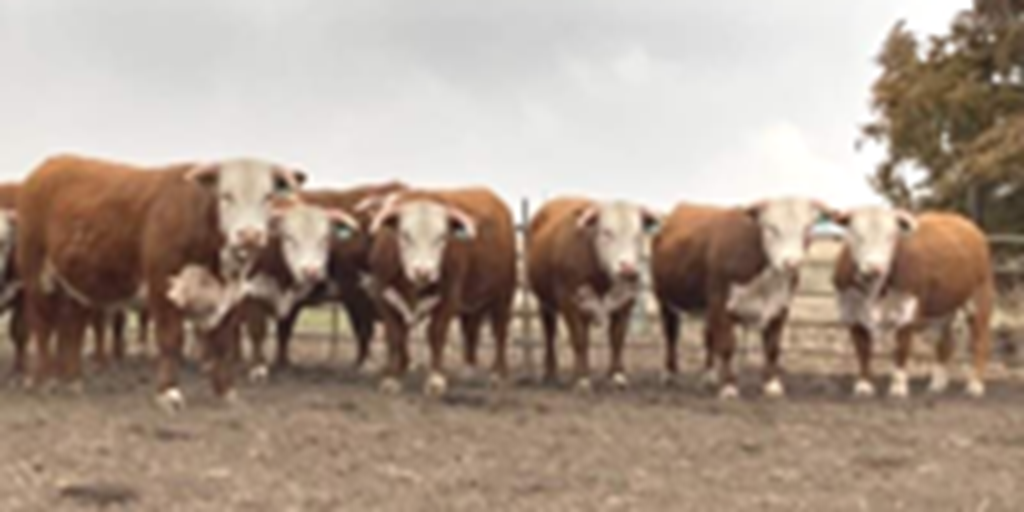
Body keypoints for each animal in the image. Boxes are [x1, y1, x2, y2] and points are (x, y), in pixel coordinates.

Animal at [16, 154, 305, 411]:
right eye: (226, 195)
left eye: (268, 196)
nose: (250, 235)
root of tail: (49, 165)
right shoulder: (163, 286)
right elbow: (170, 339)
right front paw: (168, 393)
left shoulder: (229, 298)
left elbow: (223, 345)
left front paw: (226, 392)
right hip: (37, 274)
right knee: (42, 326)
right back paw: (43, 381)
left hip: (78, 285)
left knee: (72, 329)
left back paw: (72, 381)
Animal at [364, 187, 517, 396]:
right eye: (405, 235)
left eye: (442, 237)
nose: (423, 271)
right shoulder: (383, 296)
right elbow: (395, 335)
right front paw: (392, 377)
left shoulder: (449, 298)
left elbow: (436, 333)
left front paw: (435, 380)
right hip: (472, 303)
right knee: (471, 329)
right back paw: (468, 370)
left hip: (503, 294)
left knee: (500, 331)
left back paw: (498, 374)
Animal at [526, 197, 661, 391]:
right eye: (606, 232)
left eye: (638, 234)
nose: (628, 269)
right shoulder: (570, 302)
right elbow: (579, 339)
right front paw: (582, 378)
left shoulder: (626, 303)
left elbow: (617, 339)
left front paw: (617, 376)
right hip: (544, 303)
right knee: (549, 333)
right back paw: (550, 374)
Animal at [652, 197, 832, 399]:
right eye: (771, 227)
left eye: (807, 228)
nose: (791, 263)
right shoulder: (720, 304)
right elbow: (727, 345)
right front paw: (729, 386)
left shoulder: (781, 307)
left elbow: (772, 347)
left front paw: (772, 385)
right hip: (665, 301)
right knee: (671, 335)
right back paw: (669, 375)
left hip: (706, 310)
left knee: (708, 336)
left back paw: (709, 377)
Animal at [831, 207, 994, 399]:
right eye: (857, 234)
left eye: (892, 236)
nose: (875, 268)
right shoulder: (852, 313)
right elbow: (863, 350)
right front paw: (864, 385)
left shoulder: (908, 311)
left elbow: (901, 348)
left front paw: (898, 387)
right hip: (944, 309)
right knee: (945, 343)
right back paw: (937, 384)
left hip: (980, 297)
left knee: (980, 342)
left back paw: (975, 384)